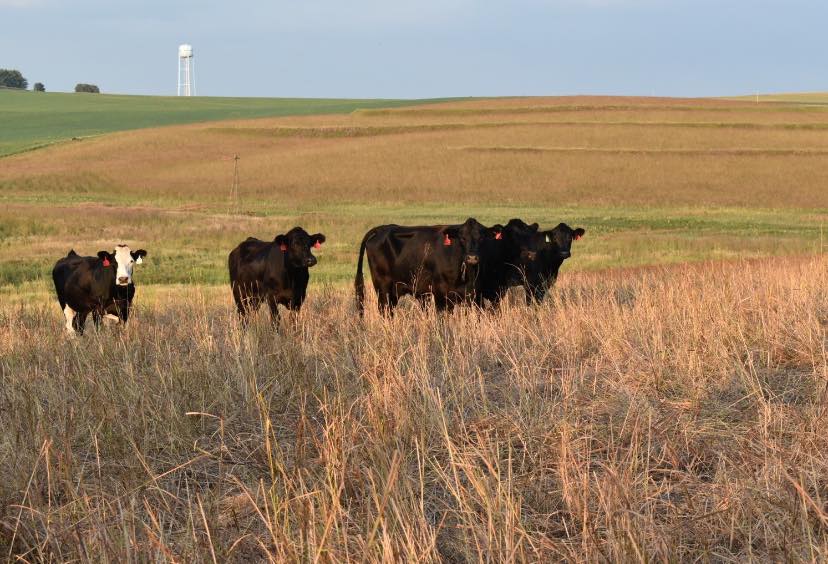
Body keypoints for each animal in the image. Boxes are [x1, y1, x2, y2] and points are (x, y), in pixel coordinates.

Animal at [354, 217, 502, 315]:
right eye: (462, 237)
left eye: (481, 237)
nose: (472, 258)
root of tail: (382, 228)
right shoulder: (441, 294)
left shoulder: (474, 295)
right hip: (383, 287)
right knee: (384, 310)